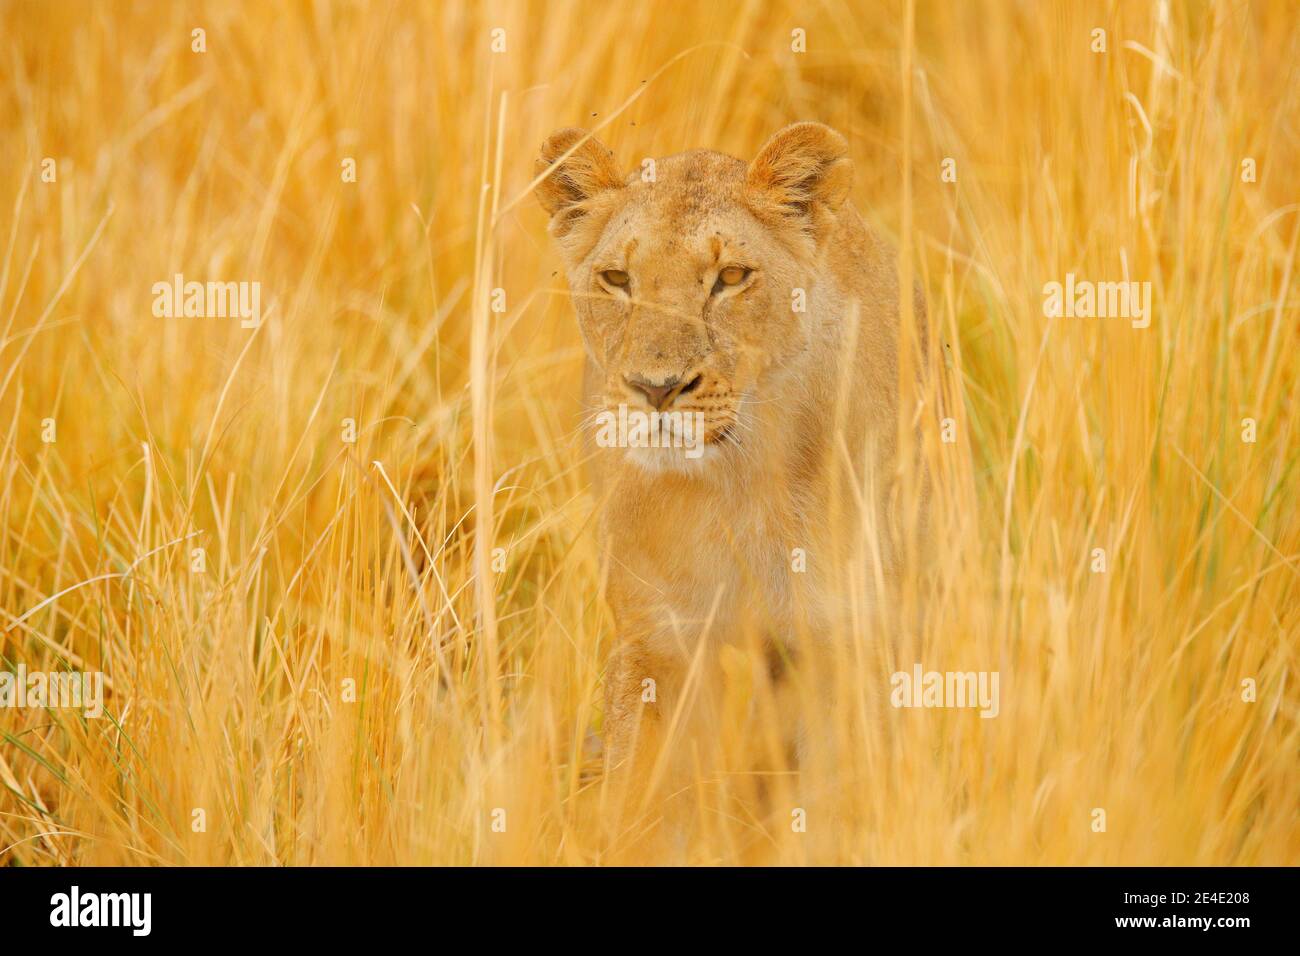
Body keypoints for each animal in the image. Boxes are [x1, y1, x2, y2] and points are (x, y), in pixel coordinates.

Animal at [535, 122, 925, 795]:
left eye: (732, 276)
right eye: (616, 279)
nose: (656, 388)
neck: (734, 484)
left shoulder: (842, 642)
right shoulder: (655, 637)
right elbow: (640, 792)